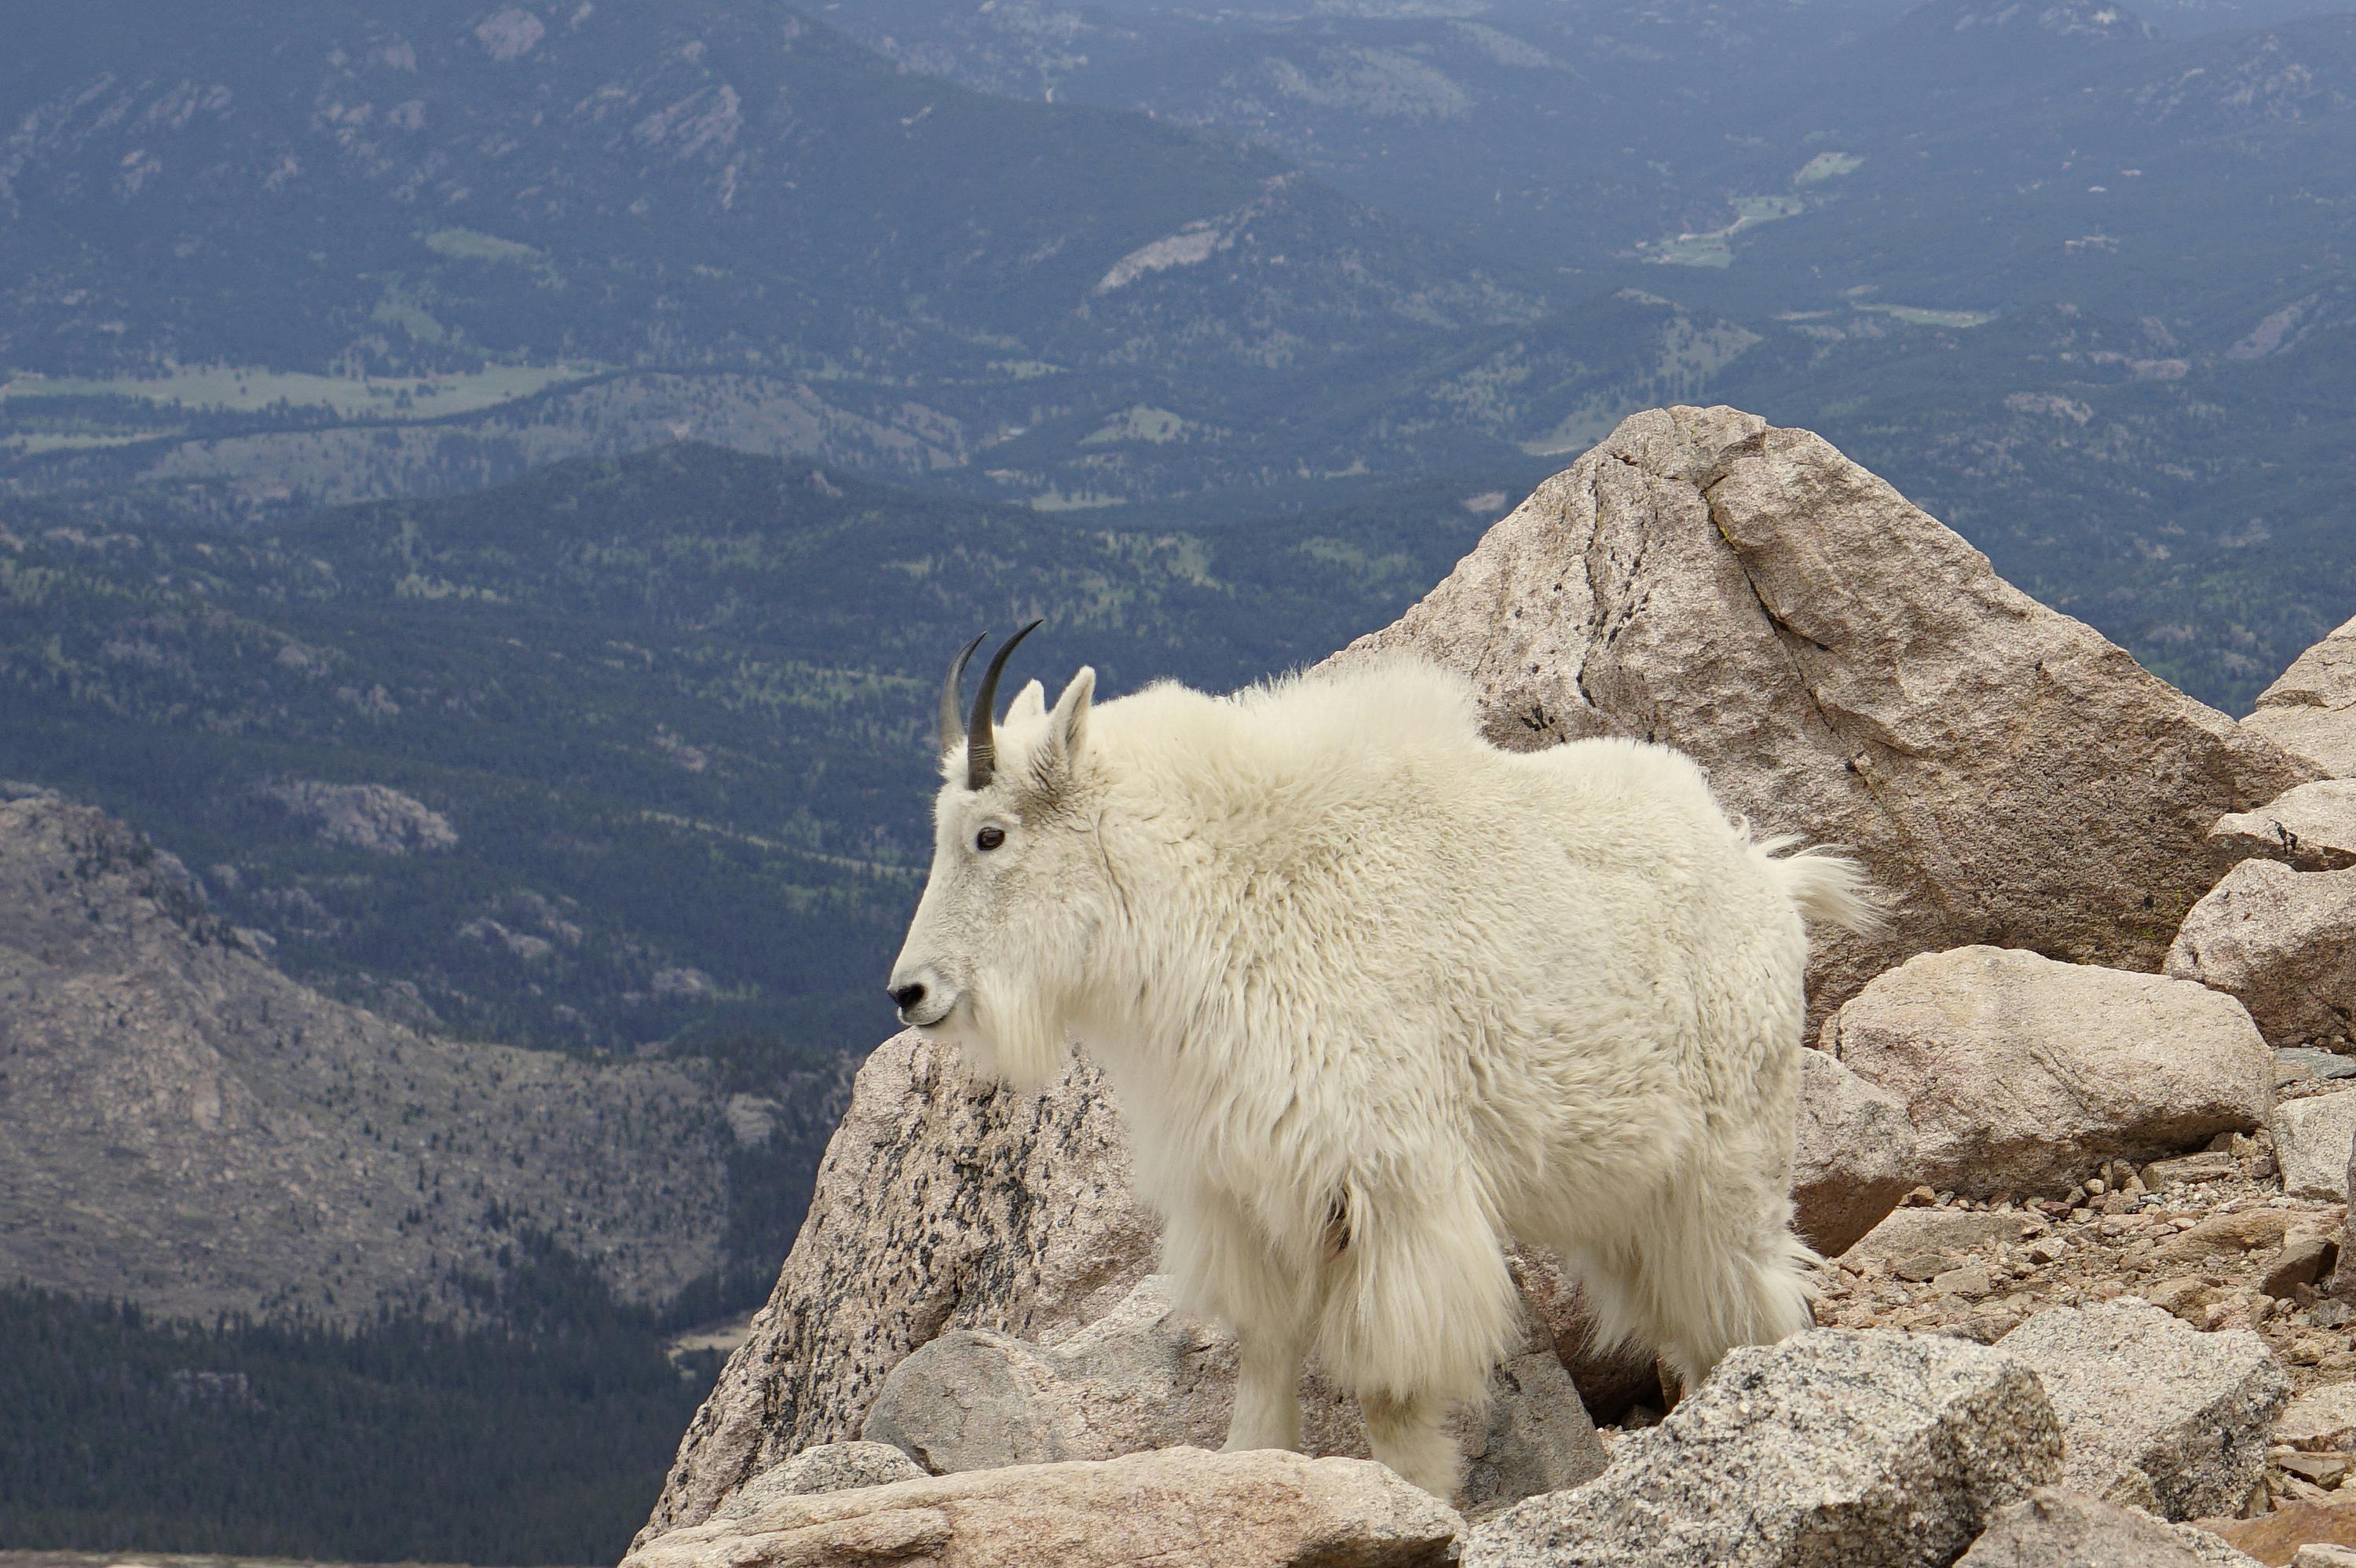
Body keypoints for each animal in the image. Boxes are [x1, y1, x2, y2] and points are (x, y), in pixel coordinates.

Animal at [886, 624, 1879, 1496]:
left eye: (990, 834)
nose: (910, 992)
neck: (1223, 899)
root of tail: (1769, 876)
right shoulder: (1245, 1187)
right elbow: (1265, 1357)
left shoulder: (1390, 1185)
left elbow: (1389, 1386)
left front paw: (1421, 1497)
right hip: (1627, 1194)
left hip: (1733, 1152)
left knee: (1753, 1300)